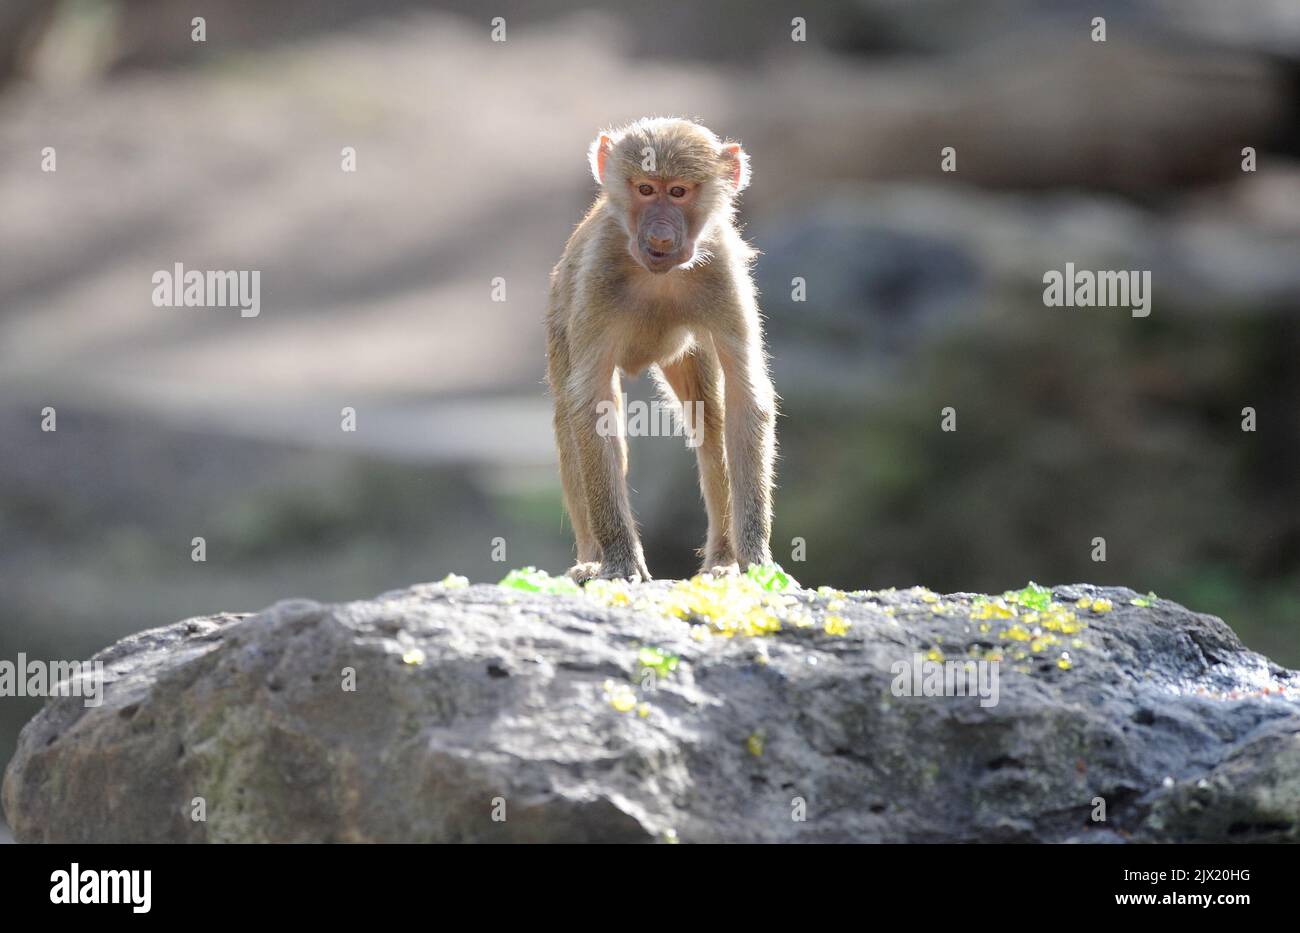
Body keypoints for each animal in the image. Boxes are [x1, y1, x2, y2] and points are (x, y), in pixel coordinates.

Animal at [545, 117, 776, 583]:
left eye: (680, 191)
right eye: (646, 188)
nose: (660, 236)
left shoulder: (721, 269)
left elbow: (745, 396)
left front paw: (756, 559)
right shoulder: (599, 271)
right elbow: (591, 404)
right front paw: (619, 560)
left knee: (709, 418)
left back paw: (721, 560)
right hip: (561, 324)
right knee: (569, 417)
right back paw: (590, 558)